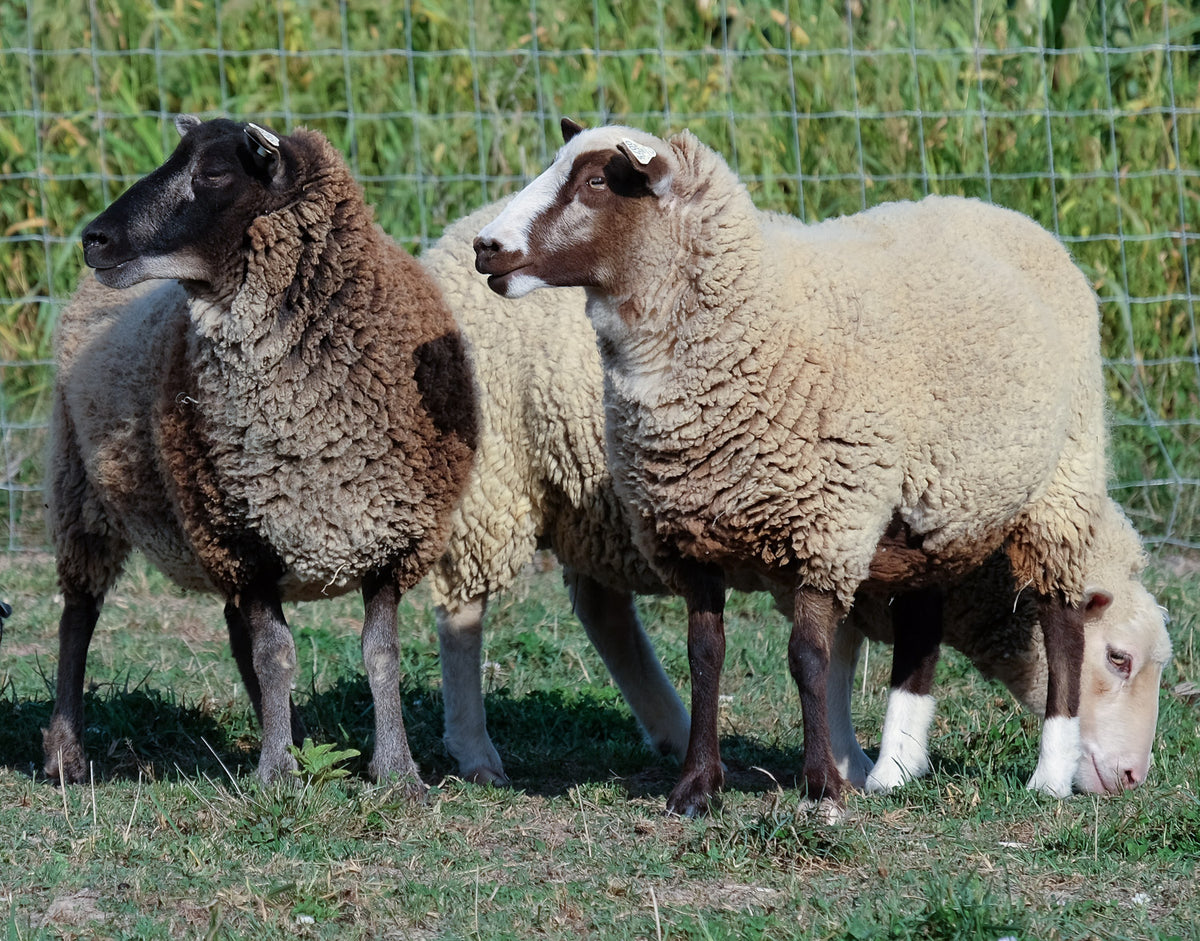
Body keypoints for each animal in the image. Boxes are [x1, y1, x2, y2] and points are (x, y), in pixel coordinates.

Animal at [44, 116, 477, 789]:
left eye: (216, 173)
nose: (94, 239)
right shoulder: (238, 538)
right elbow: (276, 655)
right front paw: (276, 774)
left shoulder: (394, 536)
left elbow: (380, 656)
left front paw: (398, 774)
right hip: (81, 492)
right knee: (77, 619)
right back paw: (65, 754)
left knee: (229, 631)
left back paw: (294, 736)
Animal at [473, 119, 1112, 815]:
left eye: (595, 182)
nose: (486, 247)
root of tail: (1005, 213)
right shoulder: (689, 534)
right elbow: (705, 657)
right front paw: (697, 787)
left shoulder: (825, 526)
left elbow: (808, 658)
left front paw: (822, 788)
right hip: (934, 502)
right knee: (923, 618)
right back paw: (894, 771)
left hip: (1063, 482)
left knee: (1063, 626)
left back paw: (1049, 774)